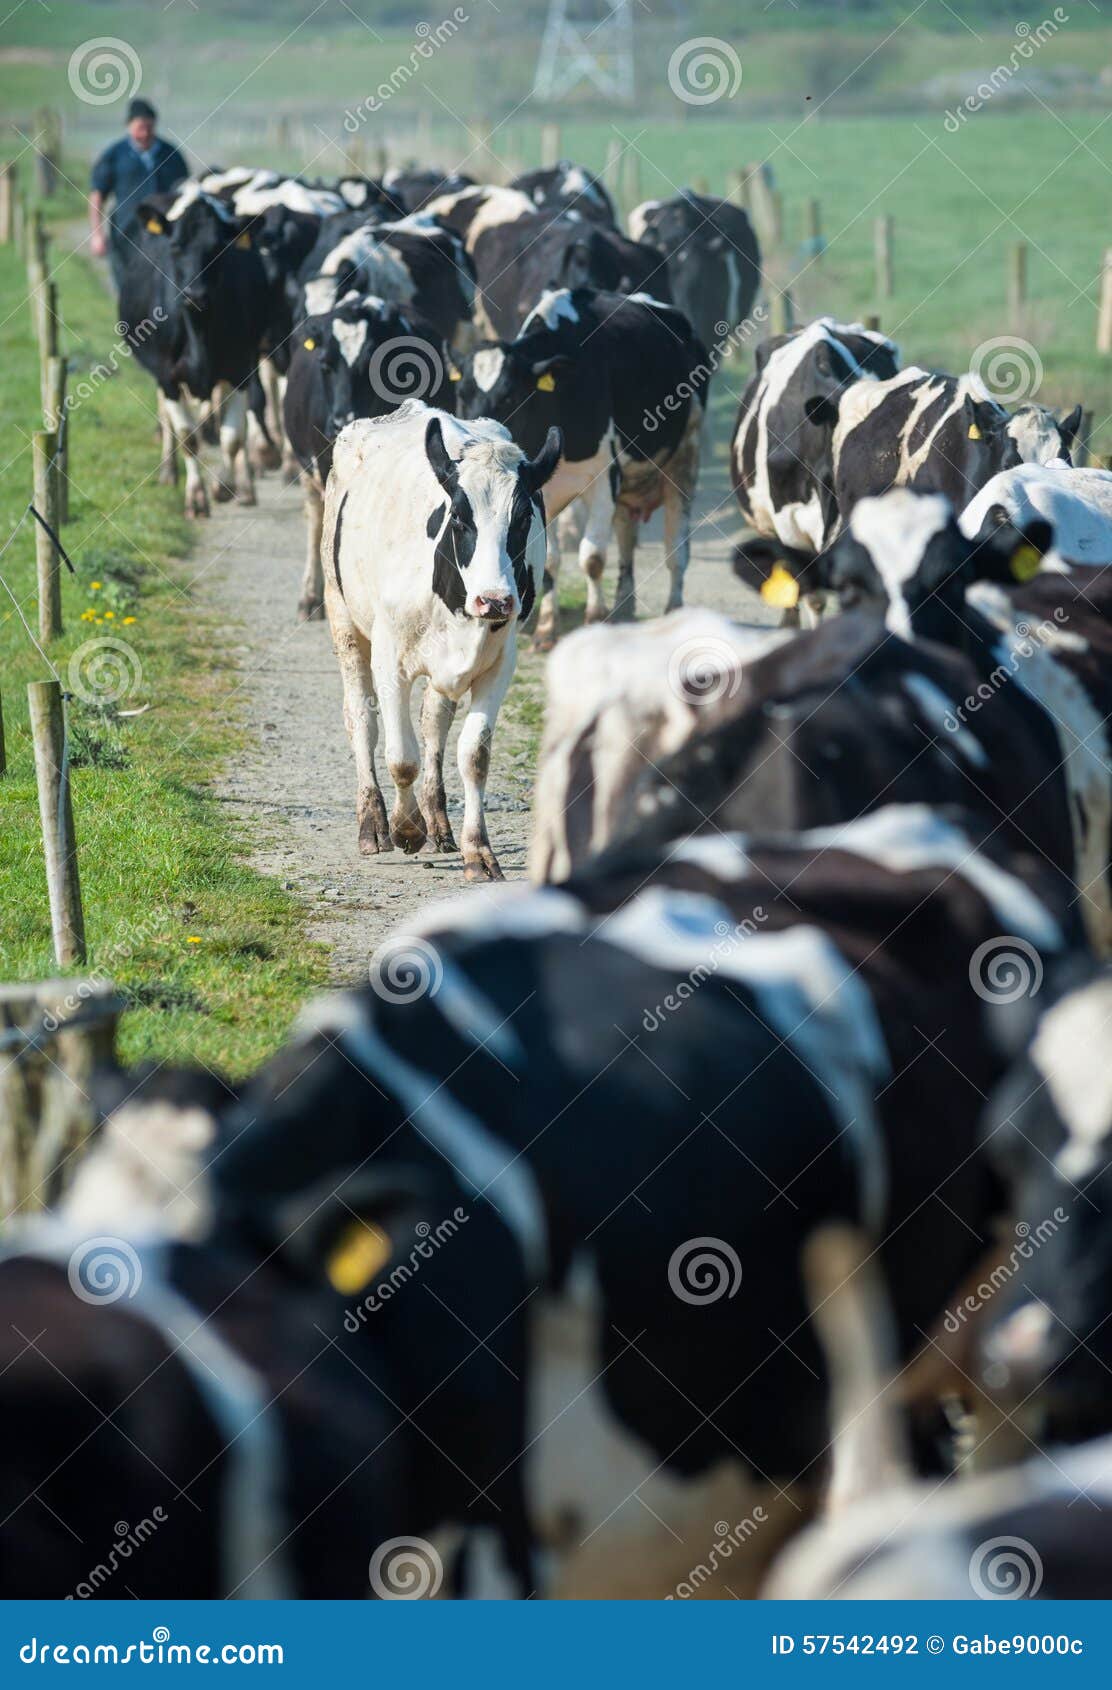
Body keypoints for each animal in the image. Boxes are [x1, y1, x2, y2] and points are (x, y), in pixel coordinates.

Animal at [119, 186, 270, 517]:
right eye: (175, 246)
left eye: (219, 249)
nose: (195, 294)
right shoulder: (167, 376)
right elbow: (188, 437)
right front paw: (196, 498)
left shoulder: (239, 369)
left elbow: (232, 438)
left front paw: (224, 487)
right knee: (168, 418)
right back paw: (168, 471)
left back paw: (246, 485)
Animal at [320, 401, 561, 879]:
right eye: (460, 518)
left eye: (524, 518)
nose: (494, 599)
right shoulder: (390, 660)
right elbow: (401, 756)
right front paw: (406, 828)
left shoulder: (499, 664)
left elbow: (473, 755)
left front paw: (477, 849)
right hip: (343, 618)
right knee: (361, 718)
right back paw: (374, 823)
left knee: (434, 721)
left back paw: (439, 823)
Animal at [458, 287, 711, 645]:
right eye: (462, 393)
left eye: (509, 396)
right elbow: (550, 560)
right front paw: (547, 628)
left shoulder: (605, 477)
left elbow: (592, 557)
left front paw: (593, 619)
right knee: (626, 534)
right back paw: (623, 606)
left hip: (685, 456)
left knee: (676, 547)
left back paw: (673, 608)